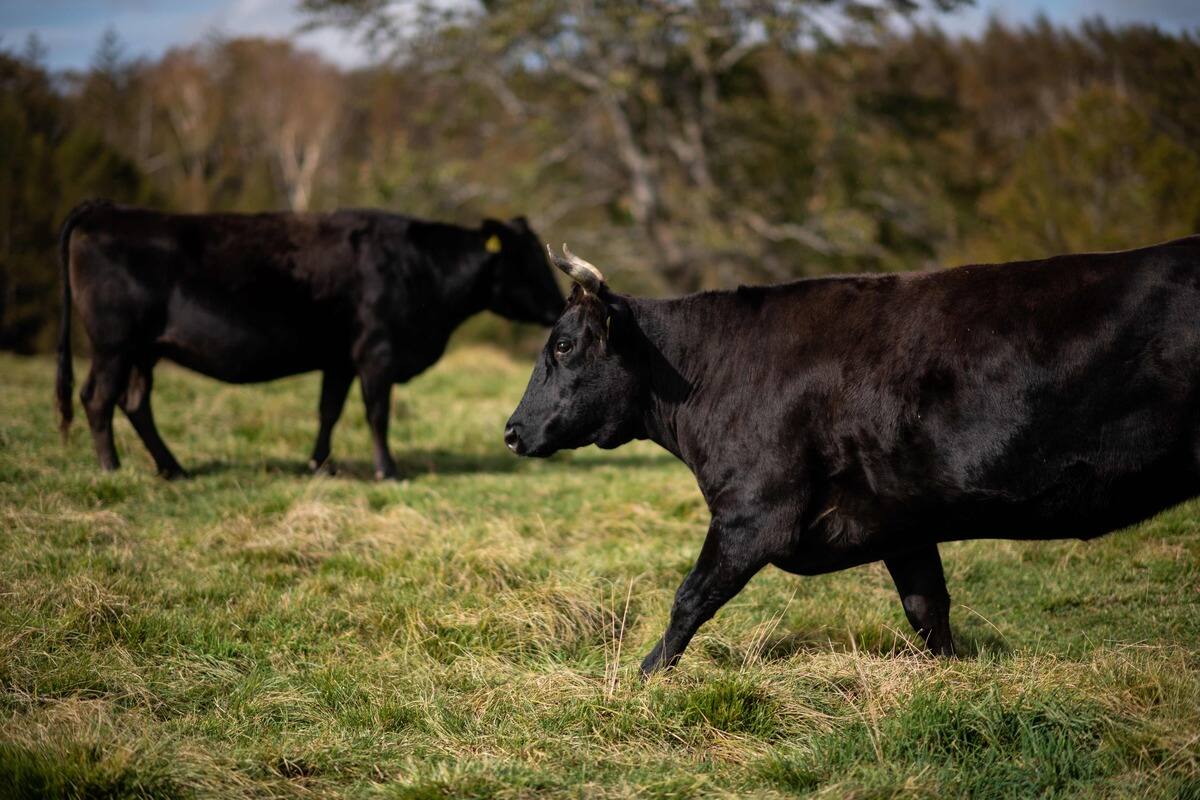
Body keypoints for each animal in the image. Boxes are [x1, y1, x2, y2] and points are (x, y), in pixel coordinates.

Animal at [55, 200, 564, 479]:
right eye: (526, 260)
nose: (559, 307)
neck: (419, 267)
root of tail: (107, 210)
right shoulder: (376, 353)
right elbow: (377, 413)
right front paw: (388, 470)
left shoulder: (338, 358)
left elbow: (329, 411)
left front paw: (320, 465)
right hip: (114, 344)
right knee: (98, 398)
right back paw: (111, 468)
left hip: (144, 351)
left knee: (135, 402)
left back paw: (172, 468)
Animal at [505, 240, 1200, 676]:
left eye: (563, 345)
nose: (511, 431)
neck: (710, 375)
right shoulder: (903, 521)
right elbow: (928, 610)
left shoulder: (755, 512)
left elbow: (689, 598)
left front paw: (640, 677)